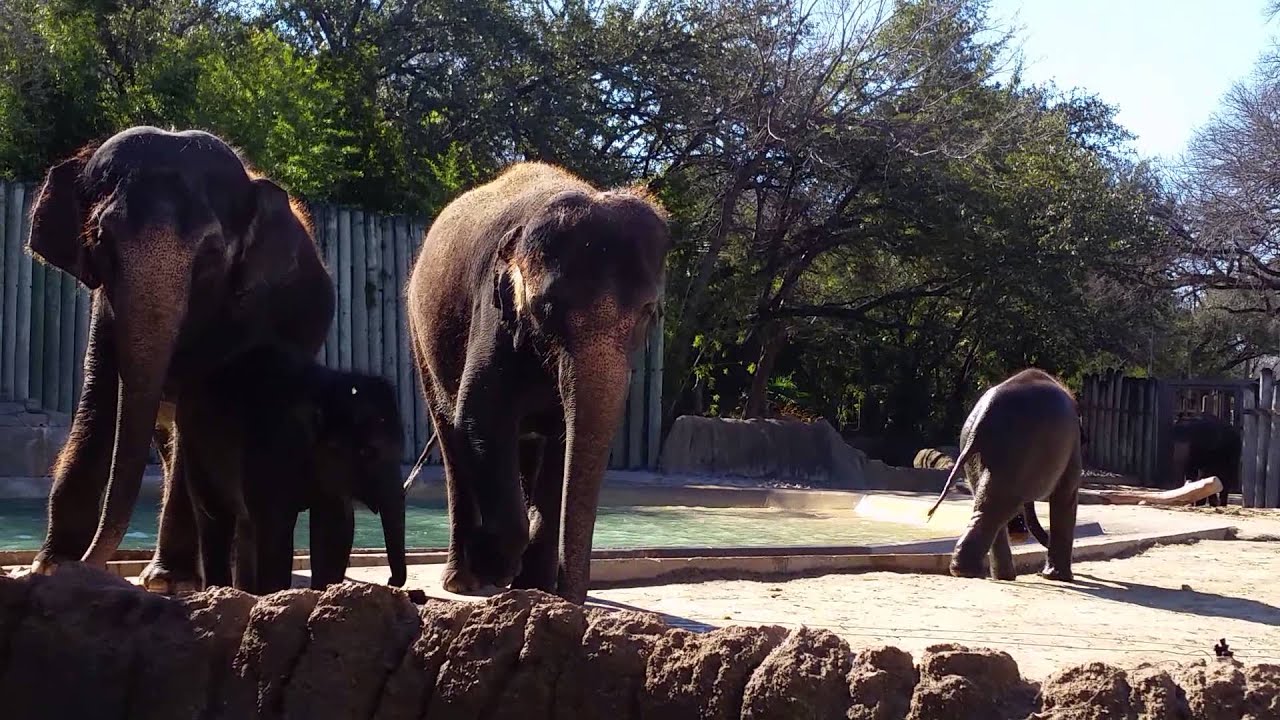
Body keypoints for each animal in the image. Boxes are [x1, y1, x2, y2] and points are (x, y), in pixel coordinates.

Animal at [24, 126, 335, 591]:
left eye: (210, 254)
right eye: (100, 240)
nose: (87, 566)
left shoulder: (242, 318)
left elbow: (194, 430)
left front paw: (168, 583)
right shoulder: (106, 310)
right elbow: (98, 408)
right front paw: (51, 566)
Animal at [172, 345, 406, 595]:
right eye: (367, 452)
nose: (391, 580)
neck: (328, 385)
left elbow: (335, 524)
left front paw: (323, 593)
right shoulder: (272, 447)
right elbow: (277, 526)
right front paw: (278, 594)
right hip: (193, 449)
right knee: (214, 517)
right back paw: (221, 591)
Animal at [404, 161, 670, 604]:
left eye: (650, 312)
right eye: (547, 307)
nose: (571, 595)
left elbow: (563, 442)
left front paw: (537, 589)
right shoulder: (493, 315)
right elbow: (481, 416)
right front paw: (497, 565)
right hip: (420, 339)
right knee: (451, 437)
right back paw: (464, 580)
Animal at [925, 368, 1083, 582]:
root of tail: (983, 417)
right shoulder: (1073, 448)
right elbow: (1066, 495)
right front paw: (1060, 578)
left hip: (984, 452)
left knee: (988, 503)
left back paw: (988, 575)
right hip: (1019, 449)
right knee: (1003, 504)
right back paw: (974, 572)